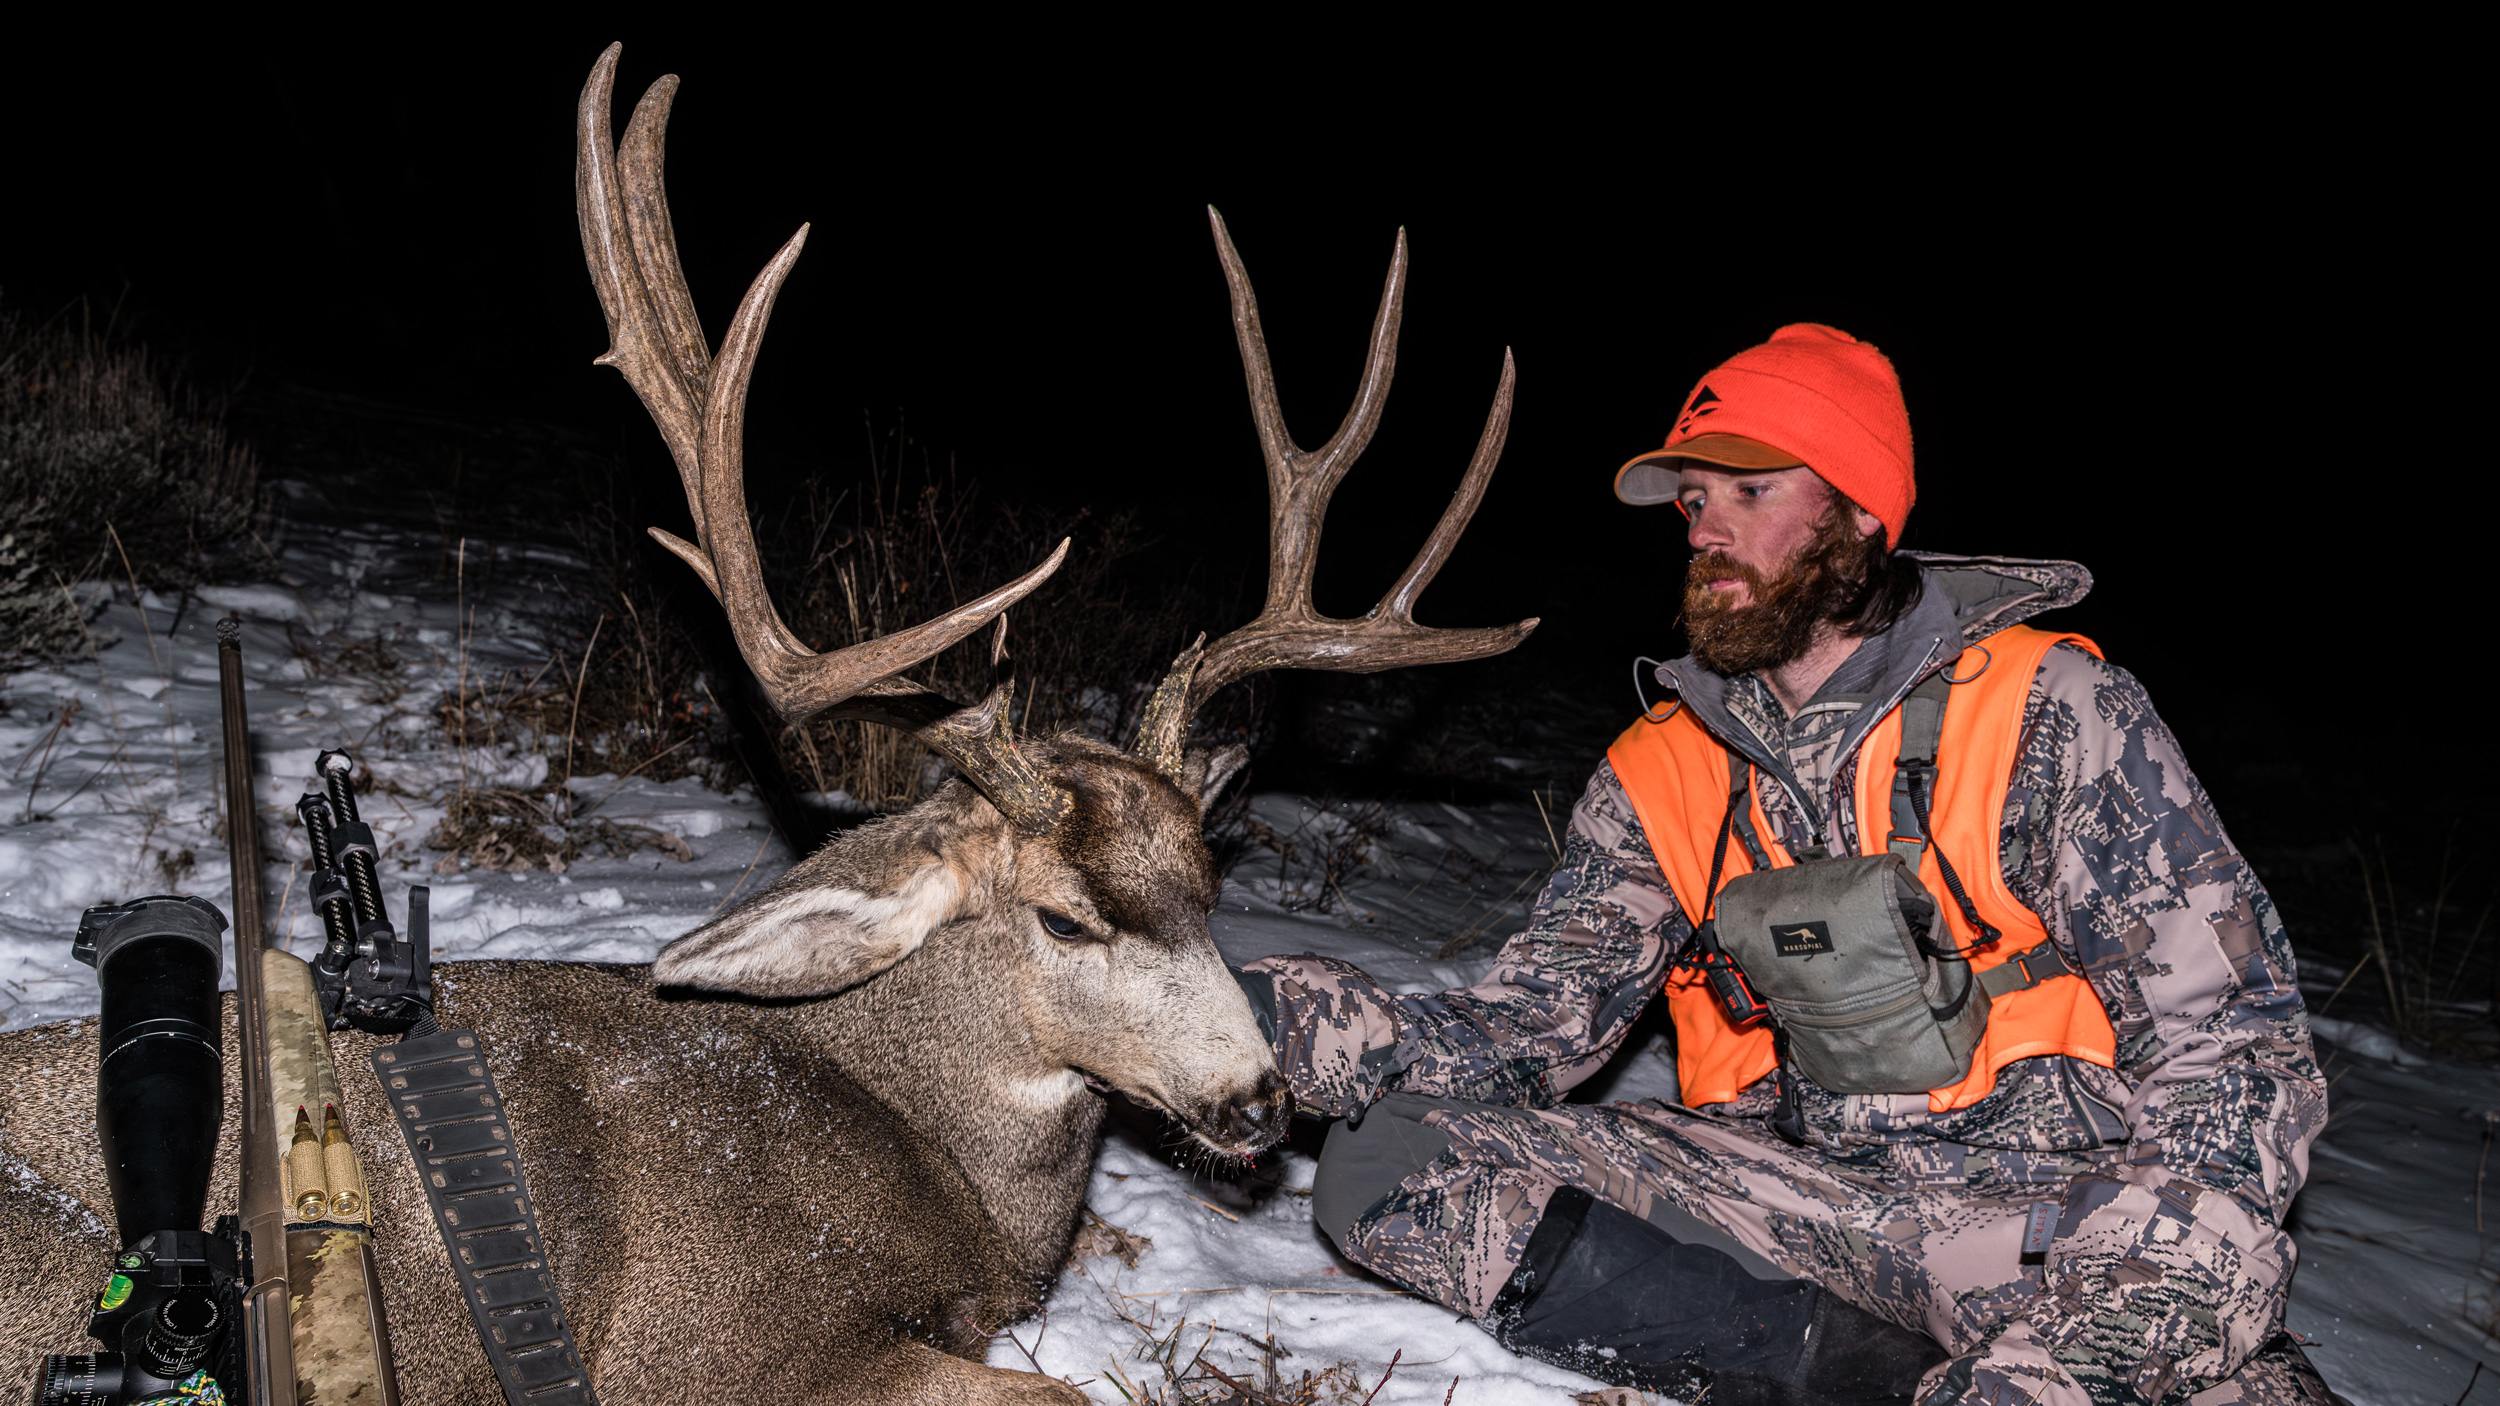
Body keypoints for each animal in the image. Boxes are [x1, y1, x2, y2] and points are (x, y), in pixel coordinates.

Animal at [0, 42, 1536, 1406]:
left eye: (1212, 879)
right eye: (1065, 918)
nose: (1259, 1104)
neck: (914, 1135)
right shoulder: (710, 1346)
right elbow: (1058, 1391)